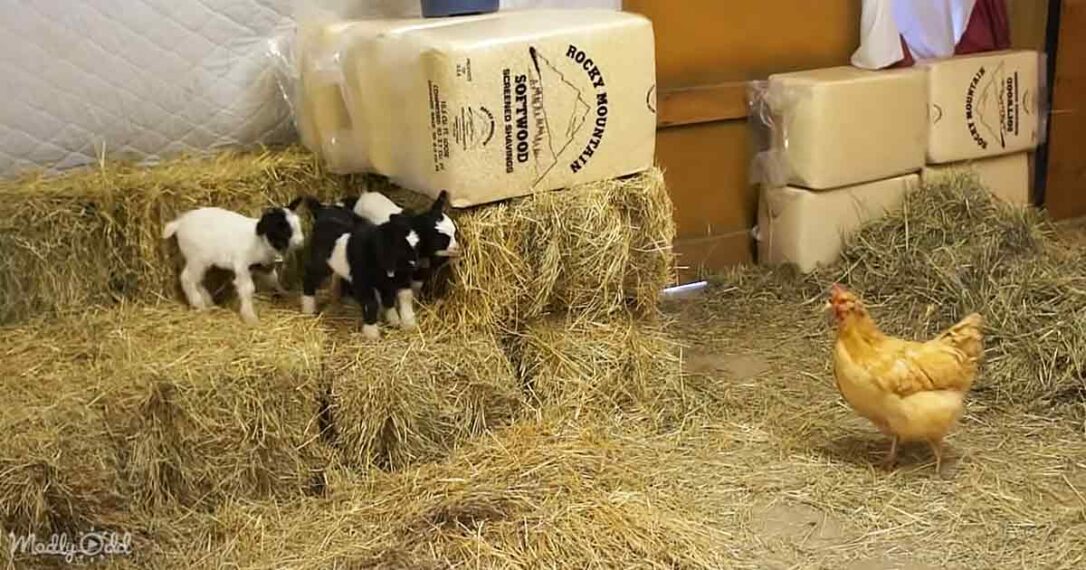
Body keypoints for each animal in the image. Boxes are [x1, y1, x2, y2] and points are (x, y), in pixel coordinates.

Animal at [162, 199, 304, 324]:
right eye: (281, 227)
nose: (300, 242)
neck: (260, 242)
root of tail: (179, 224)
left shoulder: (264, 266)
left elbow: (274, 280)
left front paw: (288, 294)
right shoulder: (242, 265)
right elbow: (247, 288)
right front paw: (250, 317)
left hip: (201, 261)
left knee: (197, 280)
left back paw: (207, 301)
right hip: (196, 257)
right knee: (187, 278)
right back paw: (199, 304)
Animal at [300, 197, 419, 339]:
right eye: (400, 247)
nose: (416, 264)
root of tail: (323, 209)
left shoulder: (389, 281)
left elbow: (394, 297)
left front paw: (397, 321)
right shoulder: (362, 282)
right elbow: (371, 303)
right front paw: (372, 333)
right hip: (321, 262)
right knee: (309, 276)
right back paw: (308, 309)